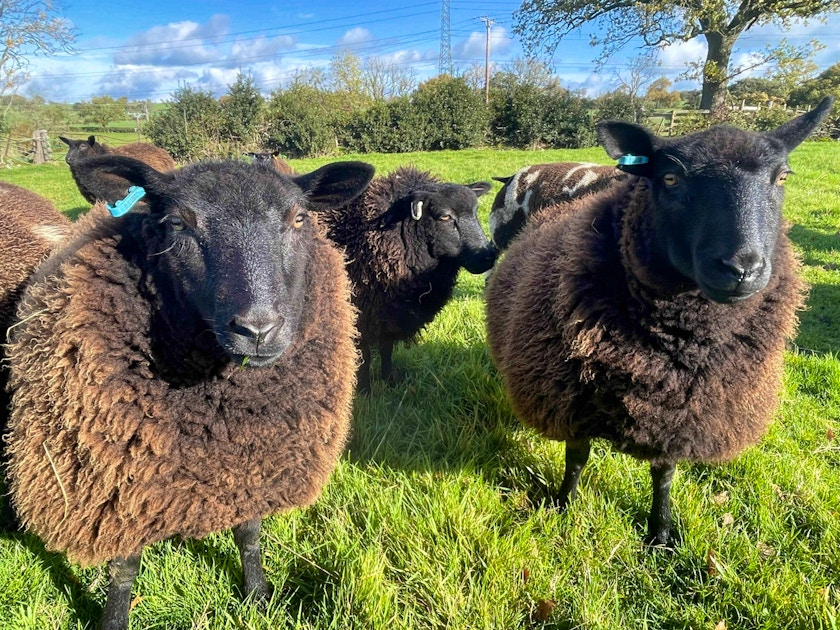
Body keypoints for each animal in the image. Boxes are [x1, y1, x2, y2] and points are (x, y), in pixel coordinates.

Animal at [3, 154, 374, 630]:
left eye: (298, 218)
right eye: (178, 223)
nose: (258, 330)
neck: (219, 417)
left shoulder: (251, 467)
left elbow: (249, 534)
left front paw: (258, 597)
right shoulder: (120, 487)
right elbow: (124, 570)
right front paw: (114, 620)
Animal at [317, 165, 496, 393]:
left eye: (475, 212)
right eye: (445, 217)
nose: (488, 256)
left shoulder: (389, 313)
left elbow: (387, 348)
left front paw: (389, 381)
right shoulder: (362, 314)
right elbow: (365, 356)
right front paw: (365, 390)